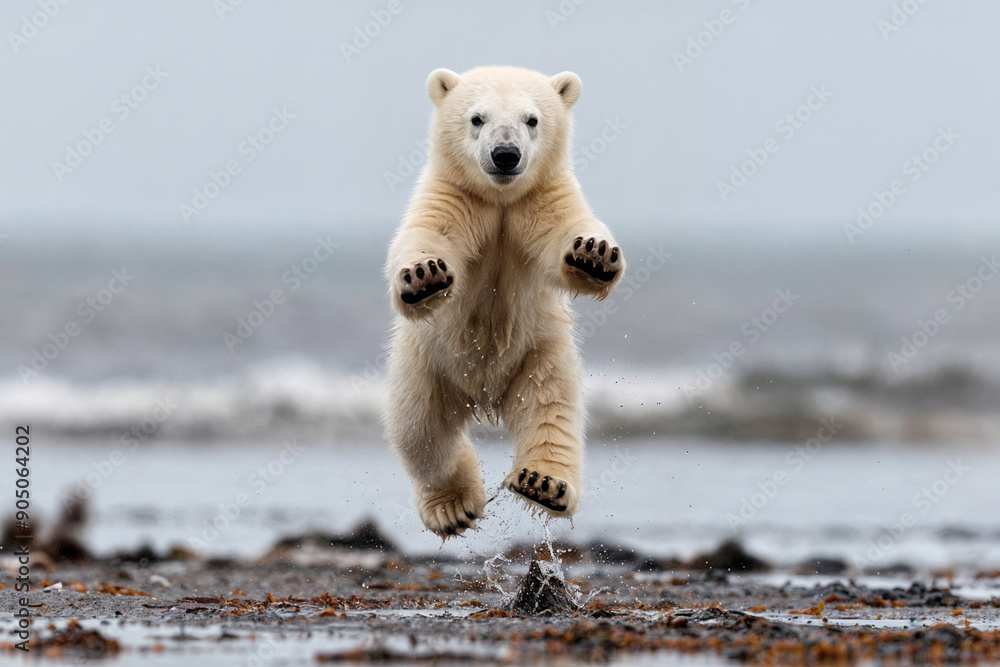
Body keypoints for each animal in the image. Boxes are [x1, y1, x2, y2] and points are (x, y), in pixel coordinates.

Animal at [384, 66, 625, 539]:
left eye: (531, 119)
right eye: (477, 118)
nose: (506, 155)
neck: (499, 199)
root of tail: (484, 396)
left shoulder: (541, 200)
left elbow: (568, 230)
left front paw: (594, 254)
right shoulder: (456, 197)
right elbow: (425, 236)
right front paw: (423, 276)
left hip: (539, 356)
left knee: (553, 414)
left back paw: (543, 483)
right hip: (424, 362)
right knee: (420, 429)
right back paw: (453, 505)